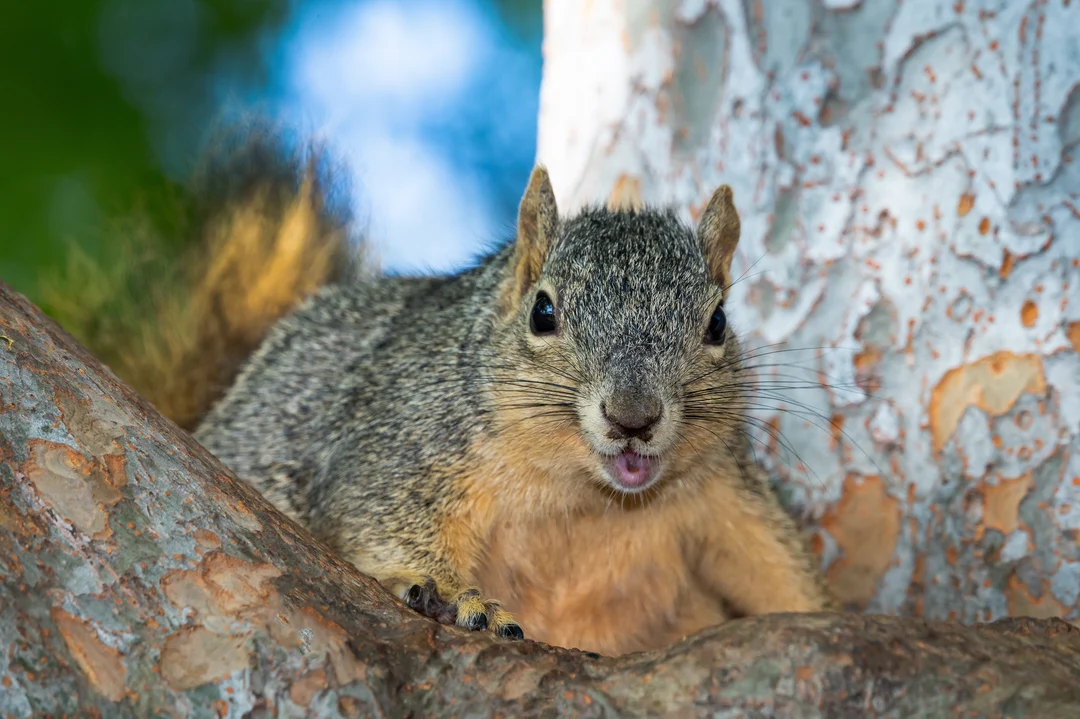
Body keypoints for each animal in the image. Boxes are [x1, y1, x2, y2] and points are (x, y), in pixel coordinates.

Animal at [102, 129, 835, 657]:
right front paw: (454, 595)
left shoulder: (723, 492)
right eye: (543, 311)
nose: (634, 418)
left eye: (717, 323)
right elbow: (376, 515)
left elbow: (775, 565)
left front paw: (827, 611)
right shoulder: (403, 441)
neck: (582, 499)